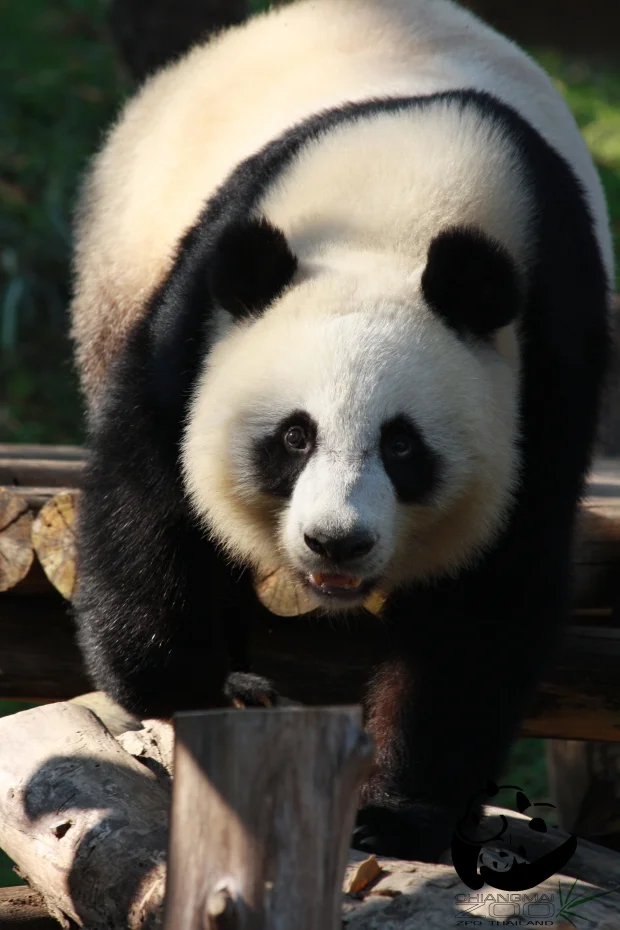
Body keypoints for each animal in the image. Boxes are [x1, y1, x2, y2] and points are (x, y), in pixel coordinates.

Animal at [70, 0, 613, 861]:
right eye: (294, 438)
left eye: (403, 445)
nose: (336, 542)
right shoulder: (205, 292)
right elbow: (148, 480)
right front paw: (187, 687)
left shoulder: (550, 356)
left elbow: (487, 590)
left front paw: (398, 810)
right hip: (118, 248)